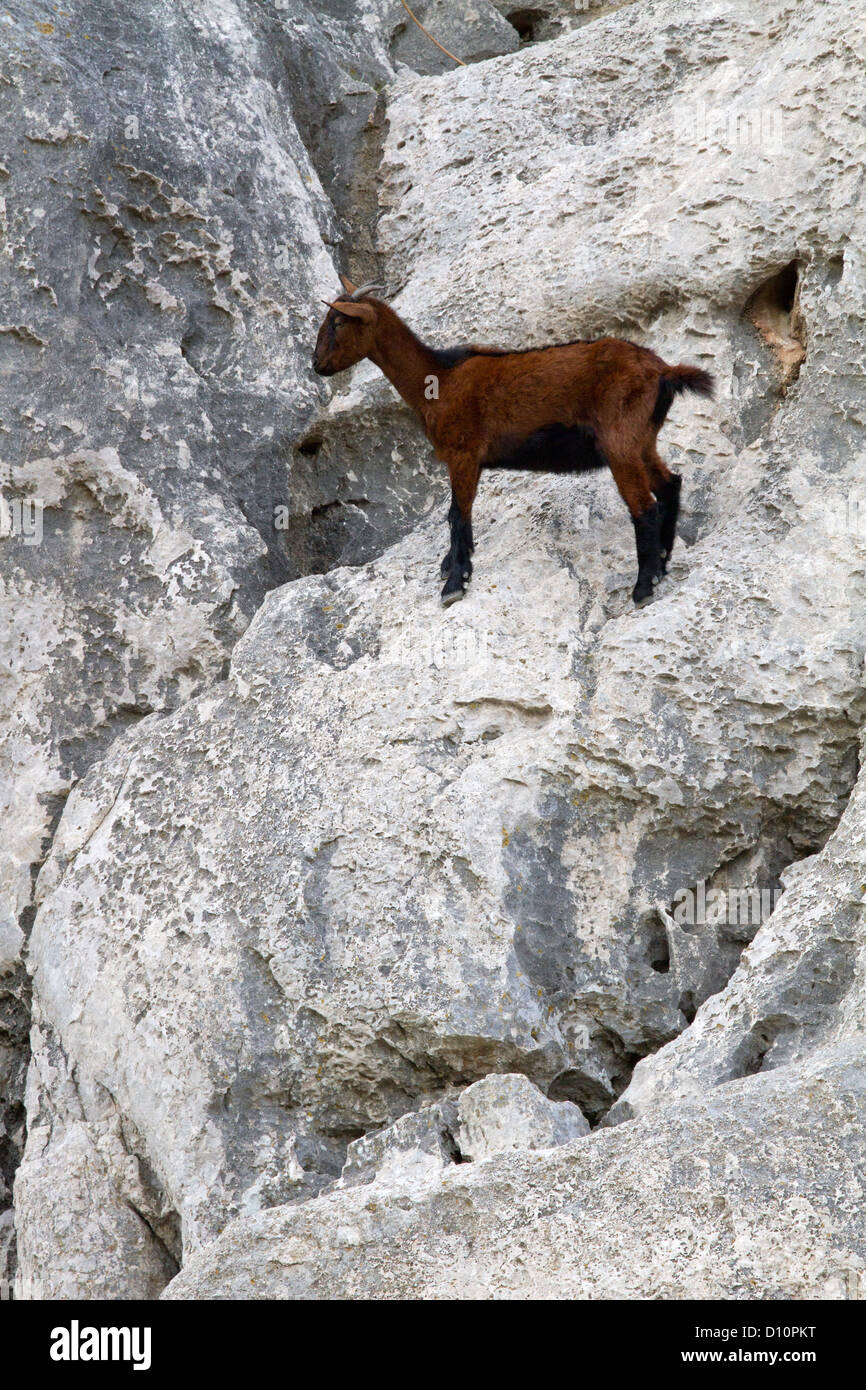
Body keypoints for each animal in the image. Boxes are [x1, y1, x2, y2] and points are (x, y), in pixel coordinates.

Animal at [312, 277, 714, 607]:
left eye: (337, 322)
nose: (317, 364)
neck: (439, 378)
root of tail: (663, 370)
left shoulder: (463, 453)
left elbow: (456, 514)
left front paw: (454, 584)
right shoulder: (467, 460)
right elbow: (459, 516)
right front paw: (452, 566)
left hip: (620, 442)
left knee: (644, 507)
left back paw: (643, 588)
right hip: (642, 439)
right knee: (670, 485)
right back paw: (662, 564)